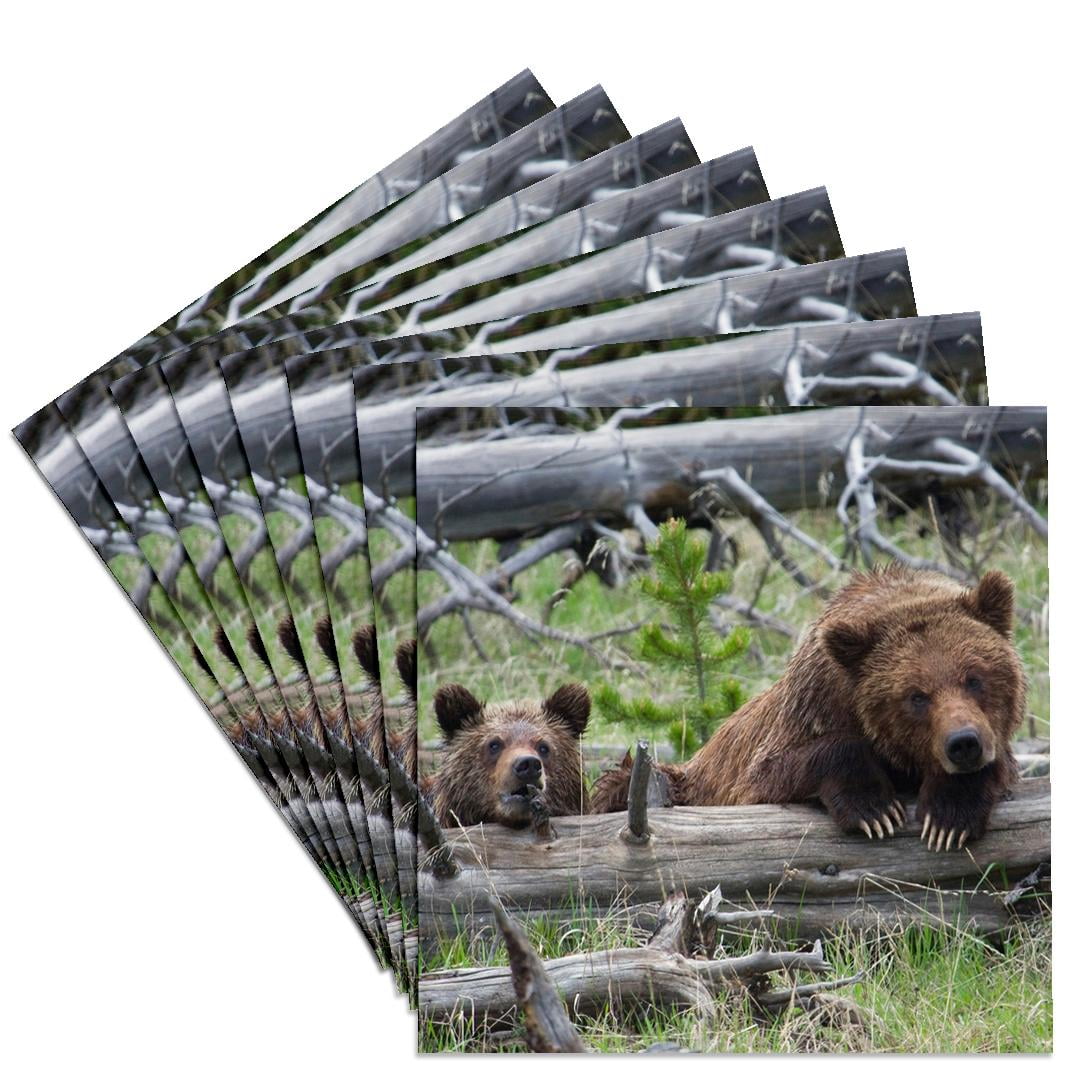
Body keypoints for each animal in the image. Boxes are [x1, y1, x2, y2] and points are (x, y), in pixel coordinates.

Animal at [591, 566, 1025, 852]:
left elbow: (997, 766)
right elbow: (779, 771)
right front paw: (875, 810)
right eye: (917, 696)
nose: (963, 743)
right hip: (679, 780)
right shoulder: (806, 713)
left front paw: (949, 816)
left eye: (974, 677)